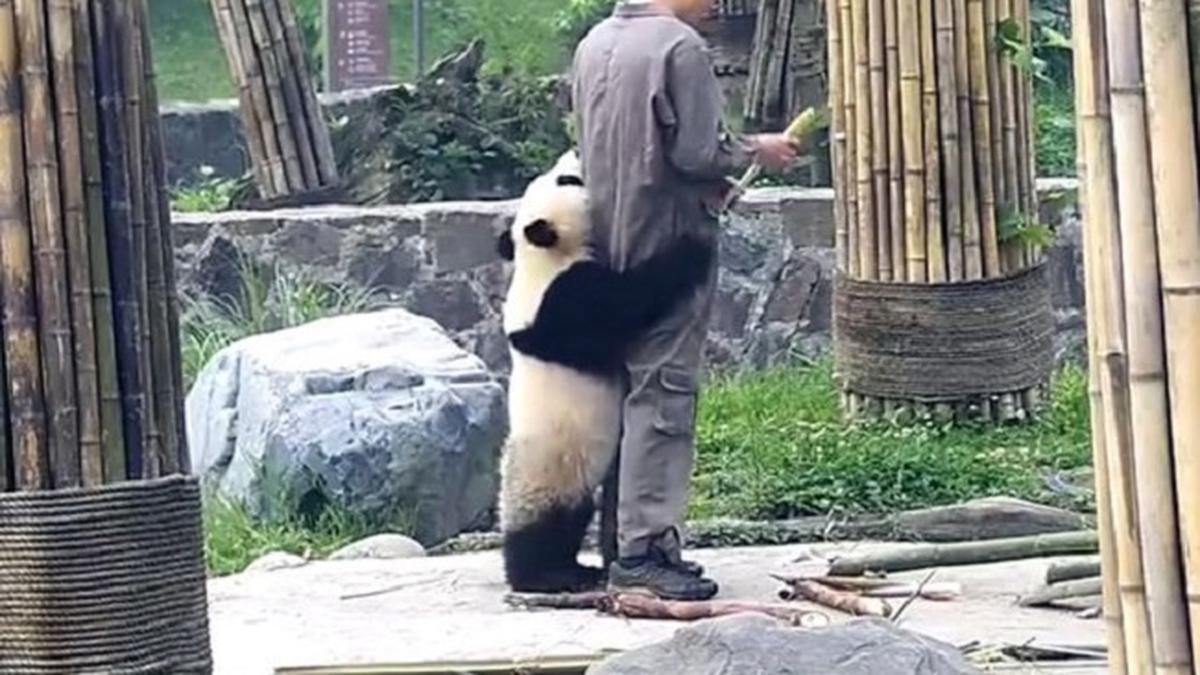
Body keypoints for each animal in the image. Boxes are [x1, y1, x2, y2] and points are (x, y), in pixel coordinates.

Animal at [495, 150, 714, 593]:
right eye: (567, 181)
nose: (574, 154)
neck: (539, 260)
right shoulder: (564, 303)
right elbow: (628, 303)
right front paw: (692, 248)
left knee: (576, 518)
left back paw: (580, 569)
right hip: (552, 468)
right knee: (546, 527)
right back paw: (545, 576)